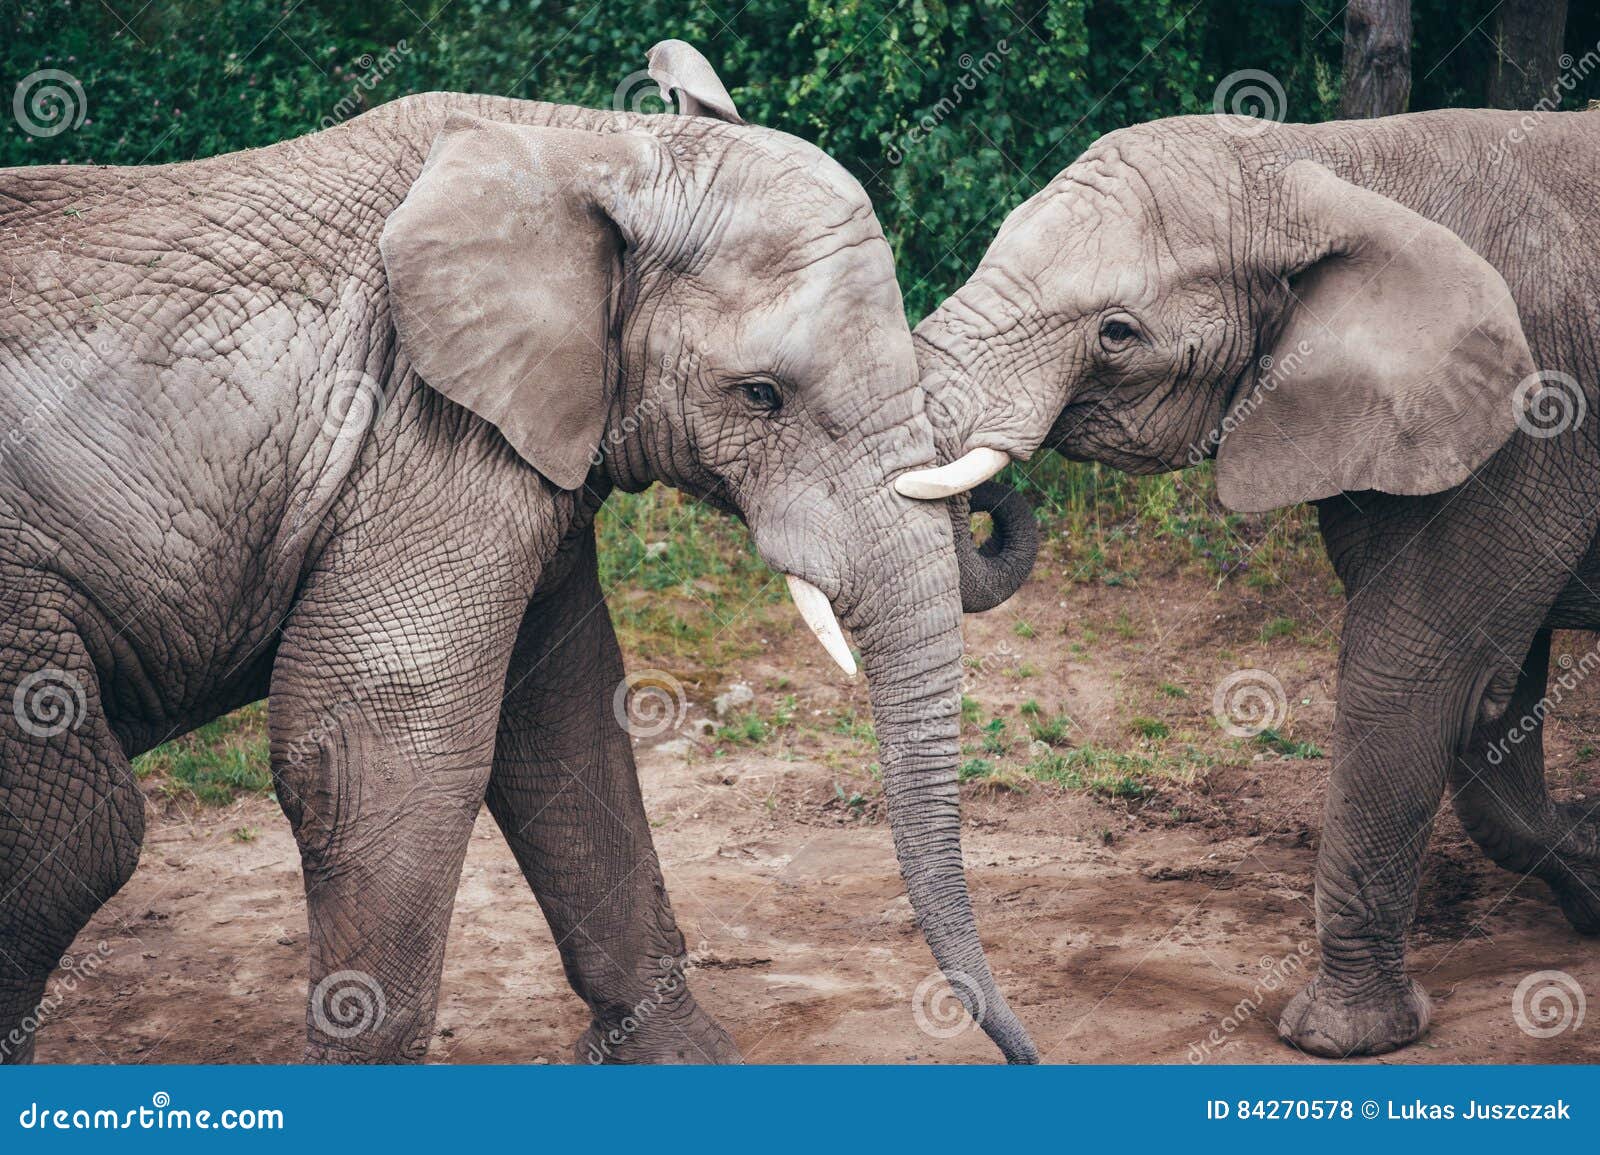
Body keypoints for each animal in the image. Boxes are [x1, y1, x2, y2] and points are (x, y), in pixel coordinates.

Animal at [0, 41, 1037, 1064]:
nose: (1019, 1053)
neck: (590, 146)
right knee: (85, 837)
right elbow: (376, 748)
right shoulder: (422, 429)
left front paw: (686, 1058)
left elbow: (569, 720)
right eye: (760, 396)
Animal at [897, 107, 1600, 1058]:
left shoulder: (1541, 414)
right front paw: (1592, 867)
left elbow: (1414, 674)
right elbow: (1494, 709)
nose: (988, 503)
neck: (1323, 159)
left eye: (1117, 335)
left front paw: (1341, 1039)